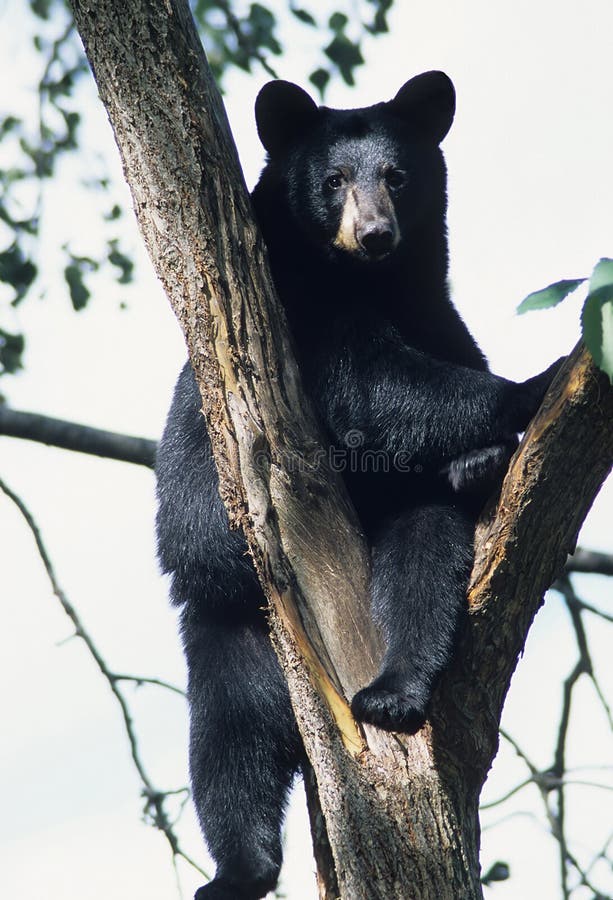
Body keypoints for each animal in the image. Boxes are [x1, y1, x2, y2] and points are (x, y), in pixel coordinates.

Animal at [155, 72, 560, 900]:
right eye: (333, 179)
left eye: (397, 177)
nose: (374, 234)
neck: (370, 282)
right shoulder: (292, 317)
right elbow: (374, 385)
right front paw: (533, 382)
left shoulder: (435, 311)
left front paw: (483, 454)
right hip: (223, 608)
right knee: (229, 743)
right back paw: (236, 870)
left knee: (421, 566)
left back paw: (393, 691)